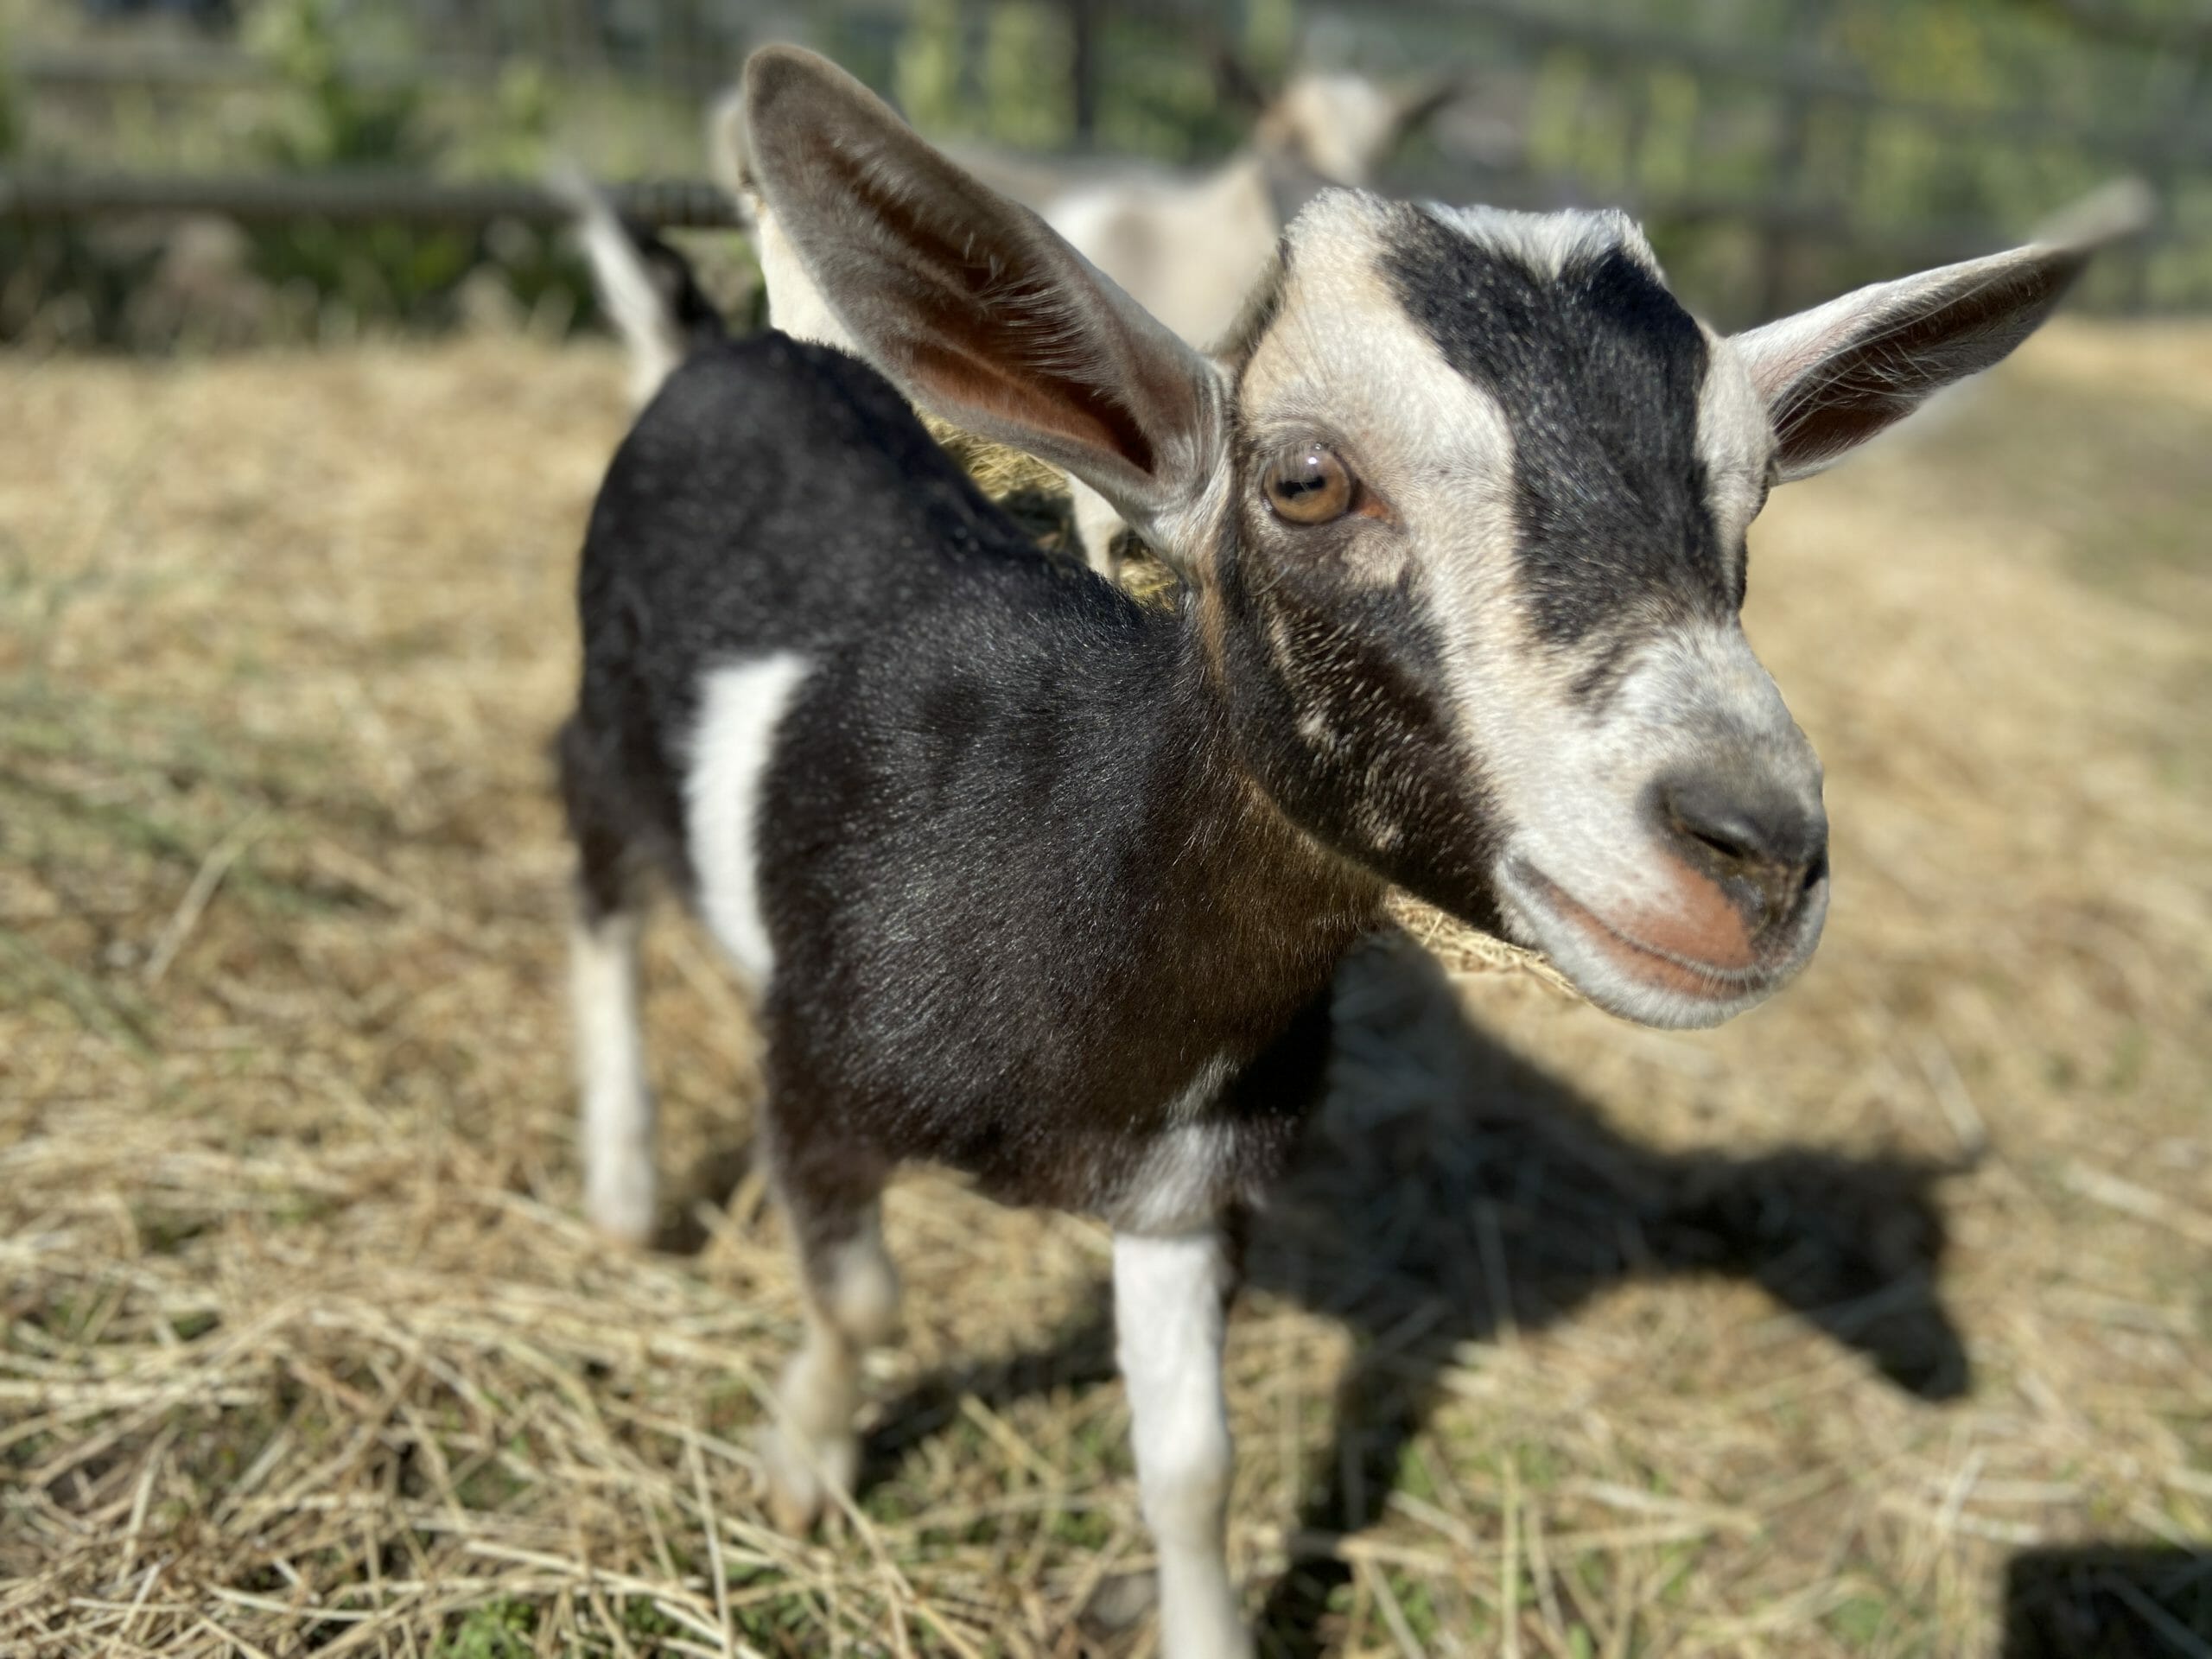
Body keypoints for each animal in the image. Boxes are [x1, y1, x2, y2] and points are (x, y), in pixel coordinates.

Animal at [560, 45, 2115, 1658]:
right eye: (1305, 479)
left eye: (1745, 512)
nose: (1759, 853)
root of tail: (725, 348)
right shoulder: (813, 1071)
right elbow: (859, 1297)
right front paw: (802, 1465)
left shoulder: (1186, 1194)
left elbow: (1193, 1465)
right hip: (606, 722)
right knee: (598, 897)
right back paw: (621, 1183)